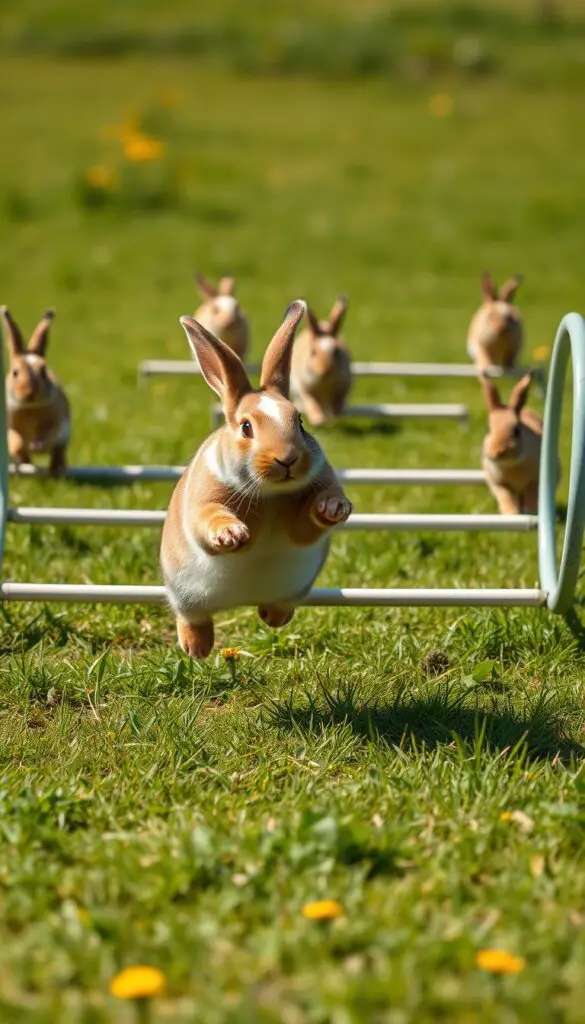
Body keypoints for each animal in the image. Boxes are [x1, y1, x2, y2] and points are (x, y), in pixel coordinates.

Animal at [1, 305, 70, 477]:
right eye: (15, 372)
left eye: (44, 371)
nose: (30, 393)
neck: (30, 408)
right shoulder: (10, 426)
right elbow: (15, 439)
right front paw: (24, 447)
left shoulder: (58, 422)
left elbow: (51, 435)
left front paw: (37, 445)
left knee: (58, 451)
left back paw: (57, 470)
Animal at [290, 296, 352, 426]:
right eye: (313, 353)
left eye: (337, 351)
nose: (325, 371)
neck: (324, 383)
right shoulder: (305, 388)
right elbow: (311, 402)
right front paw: (318, 420)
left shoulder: (344, 385)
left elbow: (339, 400)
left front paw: (335, 414)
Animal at [480, 372, 545, 515]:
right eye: (488, 429)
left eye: (516, 431)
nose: (497, 452)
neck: (510, 464)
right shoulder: (498, 483)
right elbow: (505, 495)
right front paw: (511, 512)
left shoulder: (535, 480)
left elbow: (532, 492)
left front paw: (530, 509)